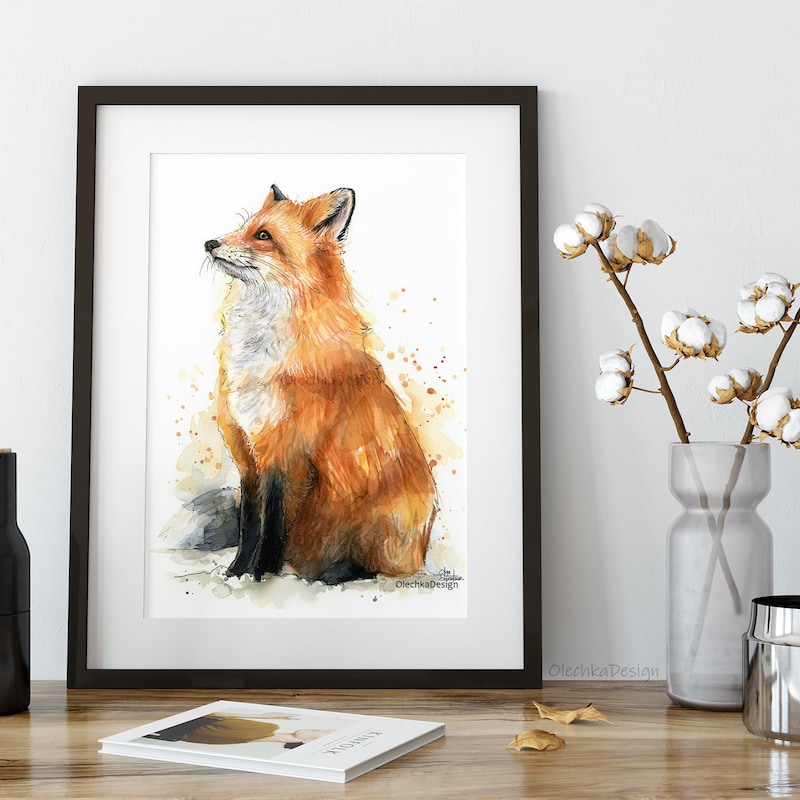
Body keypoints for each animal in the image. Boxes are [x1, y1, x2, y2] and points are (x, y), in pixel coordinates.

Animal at [204, 185, 437, 585]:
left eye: (263, 236)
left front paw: (261, 578)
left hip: (387, 523)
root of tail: (419, 552)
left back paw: (335, 573)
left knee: (379, 569)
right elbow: (250, 525)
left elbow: (273, 527)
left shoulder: (288, 455)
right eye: (245, 228)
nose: (209, 243)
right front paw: (237, 574)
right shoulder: (247, 454)